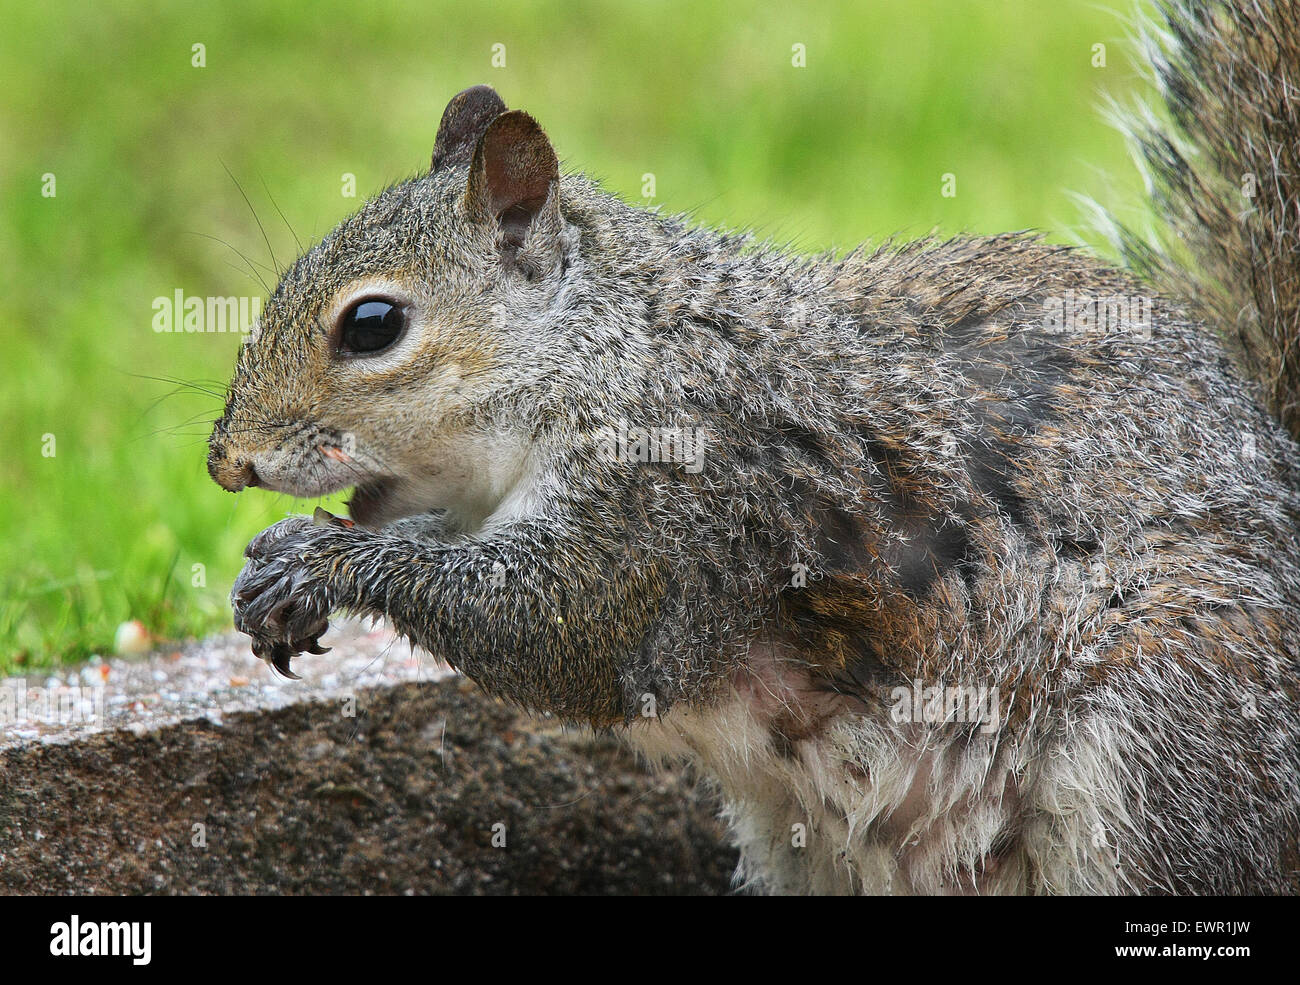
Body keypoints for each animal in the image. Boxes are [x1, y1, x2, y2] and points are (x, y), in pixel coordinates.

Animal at [208, 0, 1300, 894]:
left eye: (373, 325)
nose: (228, 462)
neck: (604, 345)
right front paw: (274, 566)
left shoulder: (675, 498)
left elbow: (561, 629)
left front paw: (327, 559)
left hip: (1161, 743)